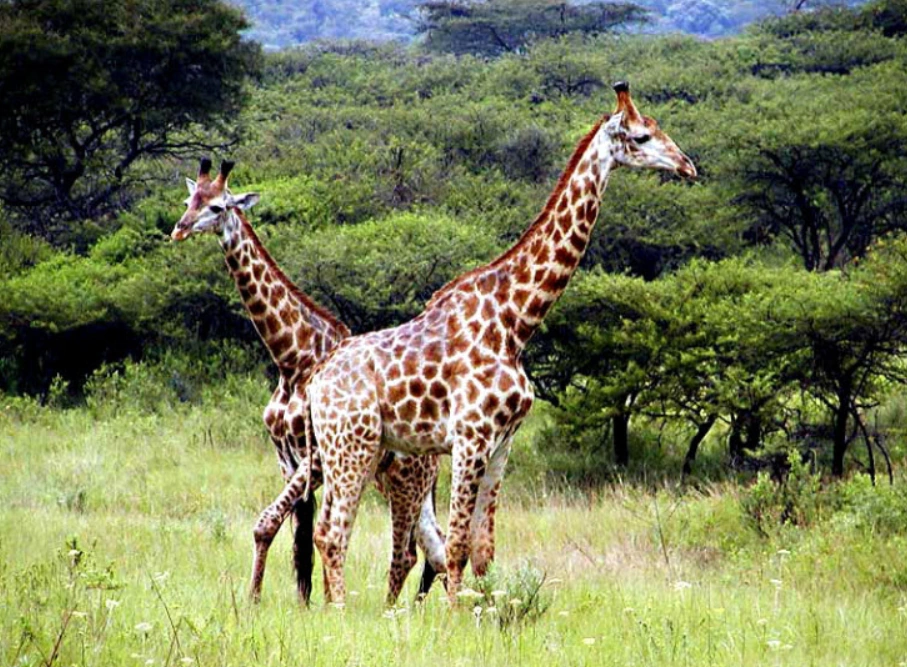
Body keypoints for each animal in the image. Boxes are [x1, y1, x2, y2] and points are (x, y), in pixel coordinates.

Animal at [170, 158, 446, 605]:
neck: (292, 360)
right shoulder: (286, 457)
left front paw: (258, 600)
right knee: (433, 547)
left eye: (217, 207)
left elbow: (271, 524)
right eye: (188, 200)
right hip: (390, 478)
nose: (180, 228)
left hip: (404, 476)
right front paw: (302, 603)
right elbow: (299, 540)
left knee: (416, 551)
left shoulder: (311, 460)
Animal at [304, 82, 697, 604]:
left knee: (326, 528)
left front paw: (485, 612)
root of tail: (316, 382)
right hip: (353, 444)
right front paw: (453, 618)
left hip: (353, 449)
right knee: (333, 532)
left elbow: (484, 551)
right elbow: (455, 546)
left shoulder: (503, 443)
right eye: (640, 136)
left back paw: (331, 609)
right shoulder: (471, 437)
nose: (687, 165)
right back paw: (341, 612)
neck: (515, 320)